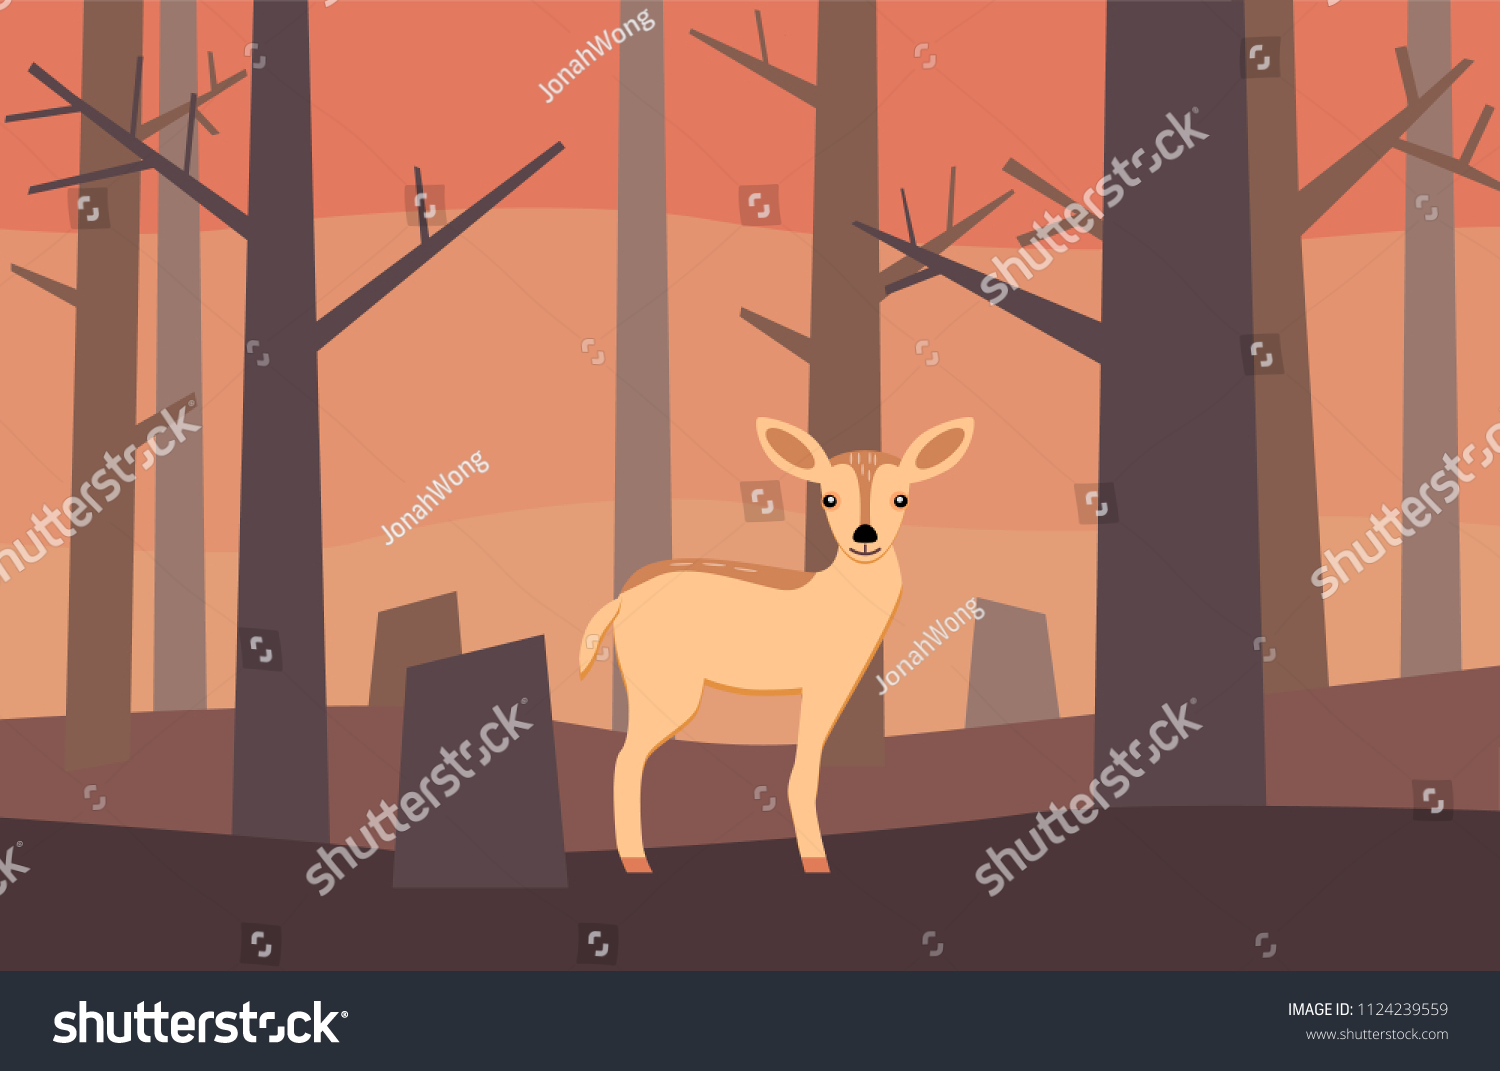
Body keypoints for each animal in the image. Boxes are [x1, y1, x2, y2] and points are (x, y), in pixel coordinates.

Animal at [578, 416, 974, 874]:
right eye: (829, 498)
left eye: (901, 498)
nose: (865, 536)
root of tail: (621, 600)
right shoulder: (824, 685)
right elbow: (803, 776)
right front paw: (817, 863)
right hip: (667, 691)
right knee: (626, 762)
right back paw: (637, 864)